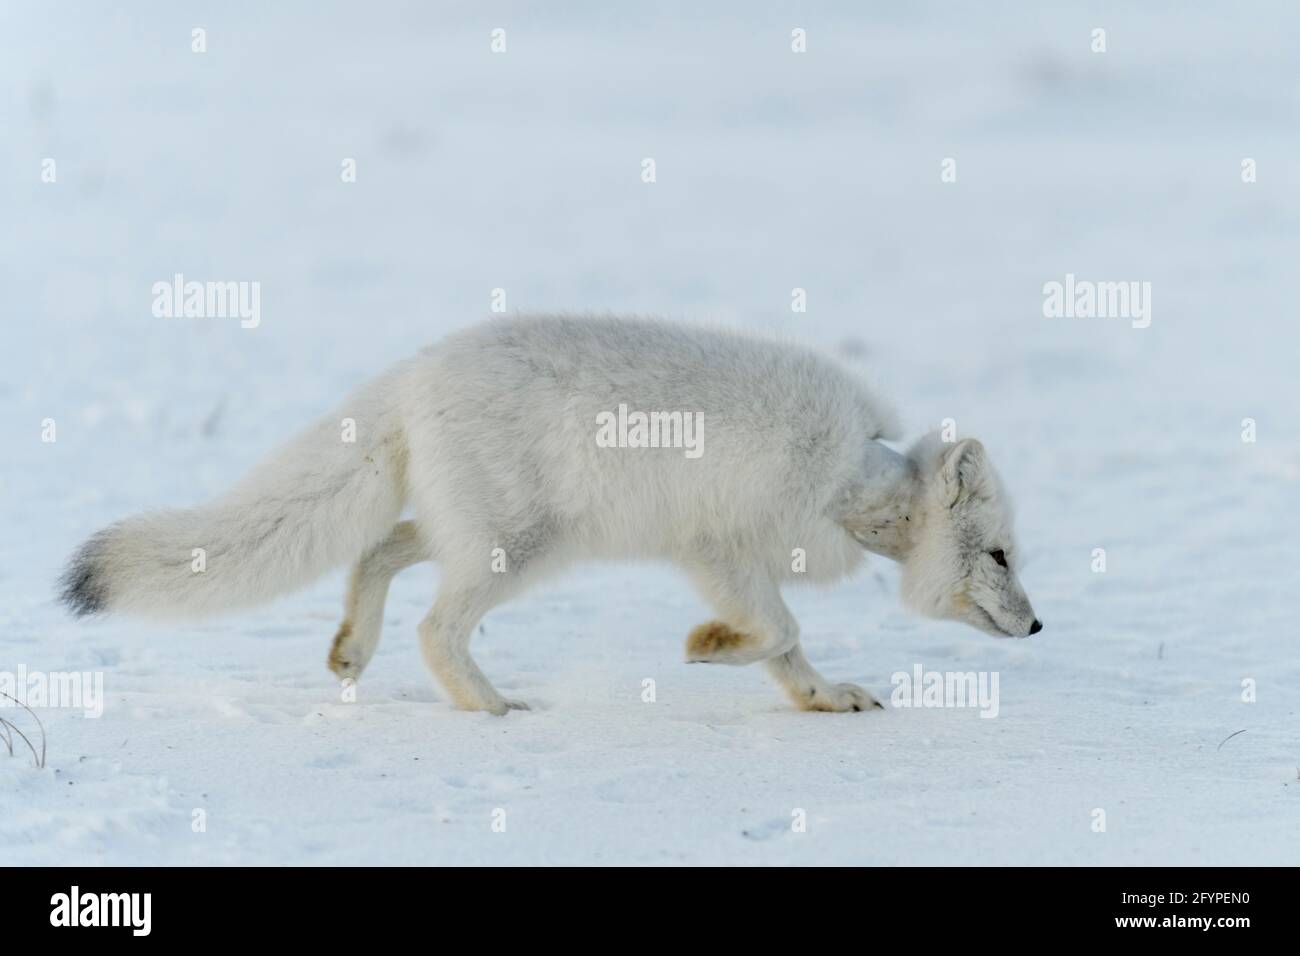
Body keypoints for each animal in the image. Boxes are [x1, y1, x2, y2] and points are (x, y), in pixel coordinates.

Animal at [59, 315, 1041, 715]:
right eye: (999, 556)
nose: (1037, 626)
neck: (850, 479)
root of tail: (413, 371)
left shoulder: (735, 559)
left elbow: (788, 649)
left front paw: (823, 698)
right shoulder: (716, 548)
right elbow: (779, 629)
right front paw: (706, 647)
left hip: (476, 533)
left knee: (377, 553)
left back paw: (352, 652)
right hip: (515, 549)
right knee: (434, 628)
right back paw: (491, 708)